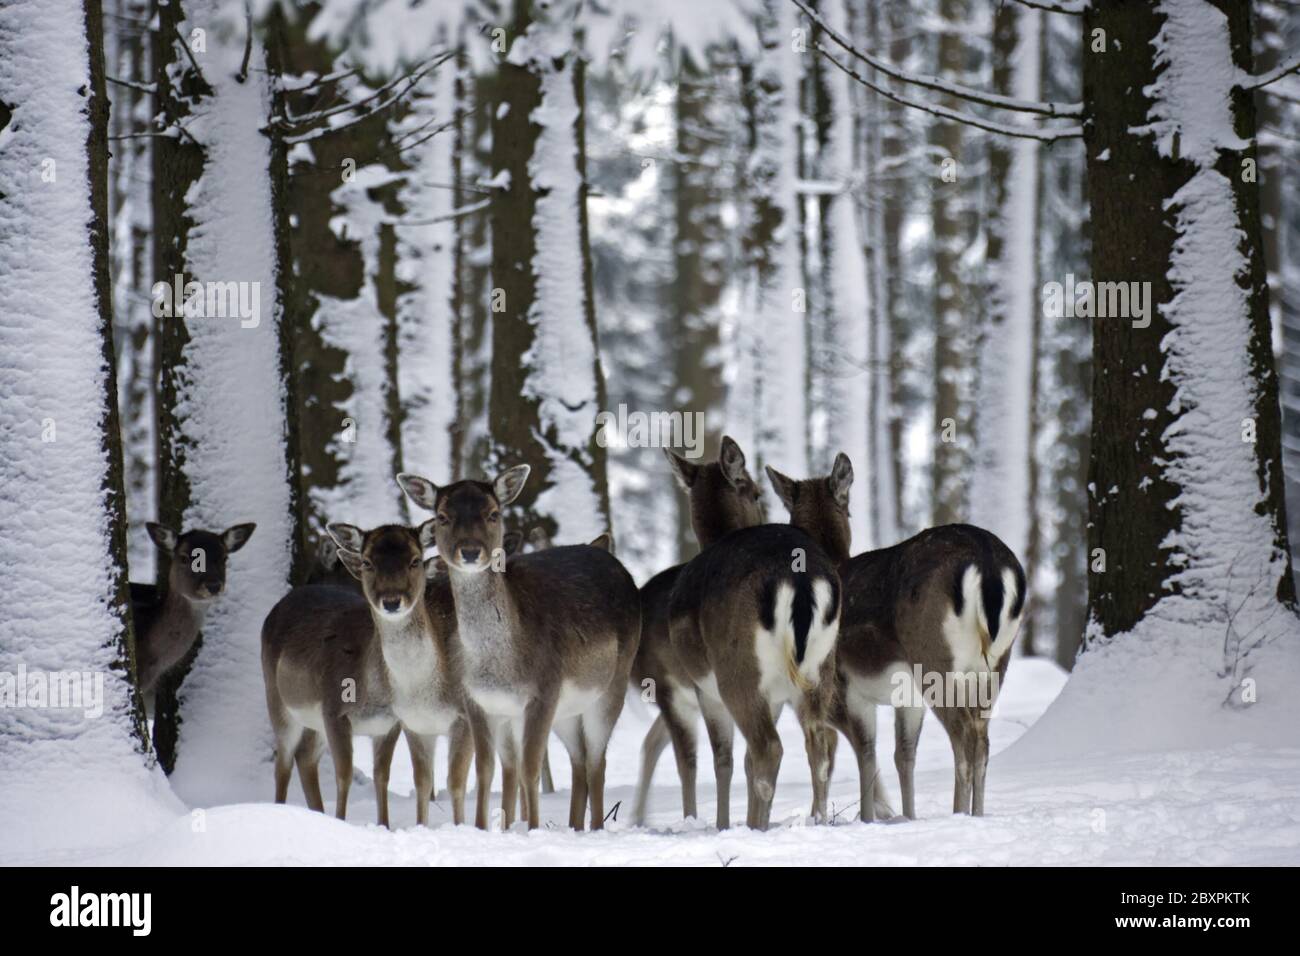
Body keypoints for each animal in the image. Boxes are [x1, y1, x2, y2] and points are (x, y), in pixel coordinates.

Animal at [260, 521, 493, 829]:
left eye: (415, 560)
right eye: (368, 562)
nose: (392, 601)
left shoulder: (395, 723)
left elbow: (386, 776)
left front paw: (384, 824)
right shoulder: (334, 709)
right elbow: (345, 774)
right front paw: (343, 822)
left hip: (313, 719)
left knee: (305, 756)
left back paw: (315, 814)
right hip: (276, 698)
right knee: (283, 763)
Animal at [397, 467, 641, 831]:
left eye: (493, 513)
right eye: (442, 516)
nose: (470, 551)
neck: (499, 666)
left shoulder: (544, 690)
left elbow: (529, 769)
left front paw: (533, 829)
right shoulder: (476, 700)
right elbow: (485, 771)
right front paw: (482, 828)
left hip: (613, 683)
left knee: (597, 760)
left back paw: (596, 826)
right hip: (568, 709)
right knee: (579, 759)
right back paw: (574, 827)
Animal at [664, 437, 843, 830]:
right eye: (759, 494)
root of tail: (798, 576)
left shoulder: (704, 688)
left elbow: (725, 759)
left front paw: (724, 823)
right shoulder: (774, 694)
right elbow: (742, 760)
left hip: (738, 668)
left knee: (768, 747)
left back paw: (758, 827)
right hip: (821, 666)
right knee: (818, 742)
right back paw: (818, 819)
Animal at [765, 462, 1026, 820]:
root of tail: (988, 565)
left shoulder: (848, 687)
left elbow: (865, 754)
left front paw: (867, 818)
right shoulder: (908, 698)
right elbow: (903, 755)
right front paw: (909, 816)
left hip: (933, 656)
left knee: (963, 736)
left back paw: (959, 813)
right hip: (995, 663)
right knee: (982, 740)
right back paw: (977, 814)